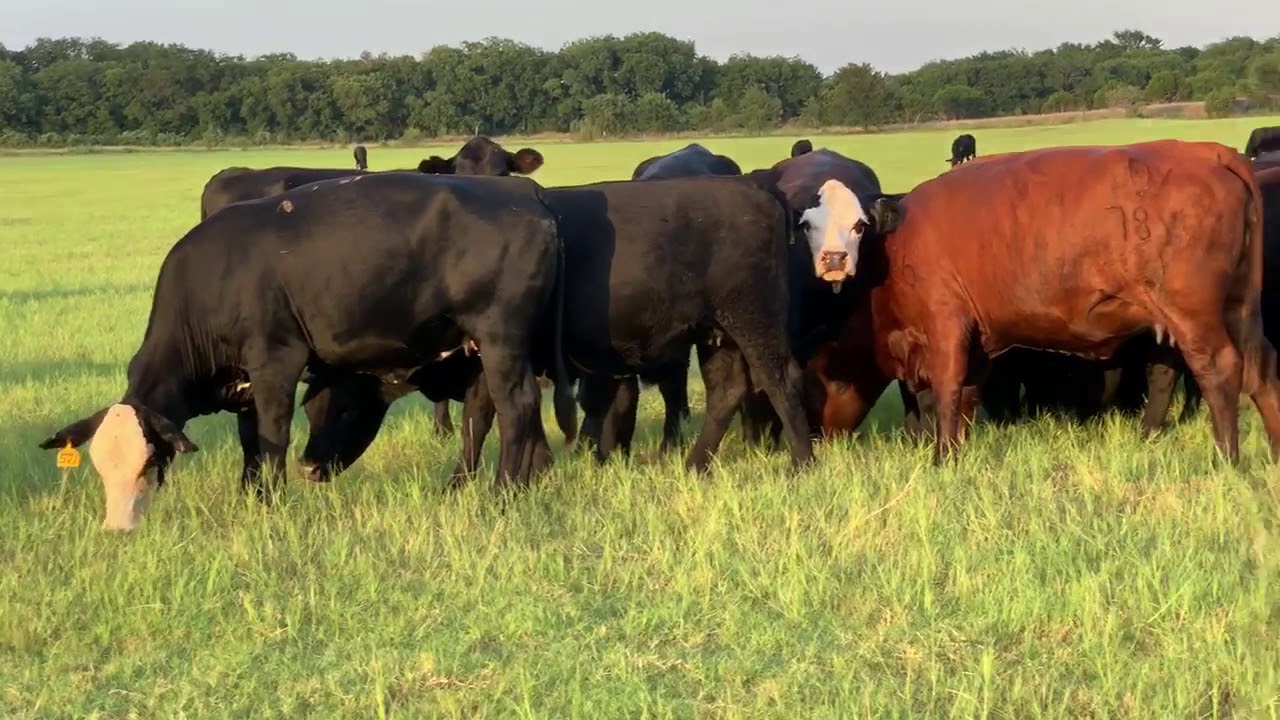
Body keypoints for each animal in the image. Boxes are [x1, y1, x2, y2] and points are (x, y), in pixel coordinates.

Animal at [37, 172, 576, 531]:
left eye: (148, 464)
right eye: (100, 468)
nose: (117, 528)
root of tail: (524, 193)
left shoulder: (275, 359)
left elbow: (273, 436)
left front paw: (273, 503)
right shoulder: (245, 380)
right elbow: (250, 441)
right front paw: (250, 497)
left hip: (501, 337)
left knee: (517, 406)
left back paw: (505, 492)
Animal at [800, 140, 1280, 465]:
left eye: (815, 385)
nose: (818, 438)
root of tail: (1205, 151)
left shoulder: (945, 326)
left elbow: (947, 393)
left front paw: (942, 459)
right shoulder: (979, 341)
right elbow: (967, 399)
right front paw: (958, 454)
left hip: (1194, 318)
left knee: (1220, 371)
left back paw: (1226, 458)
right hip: (1237, 309)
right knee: (1260, 371)